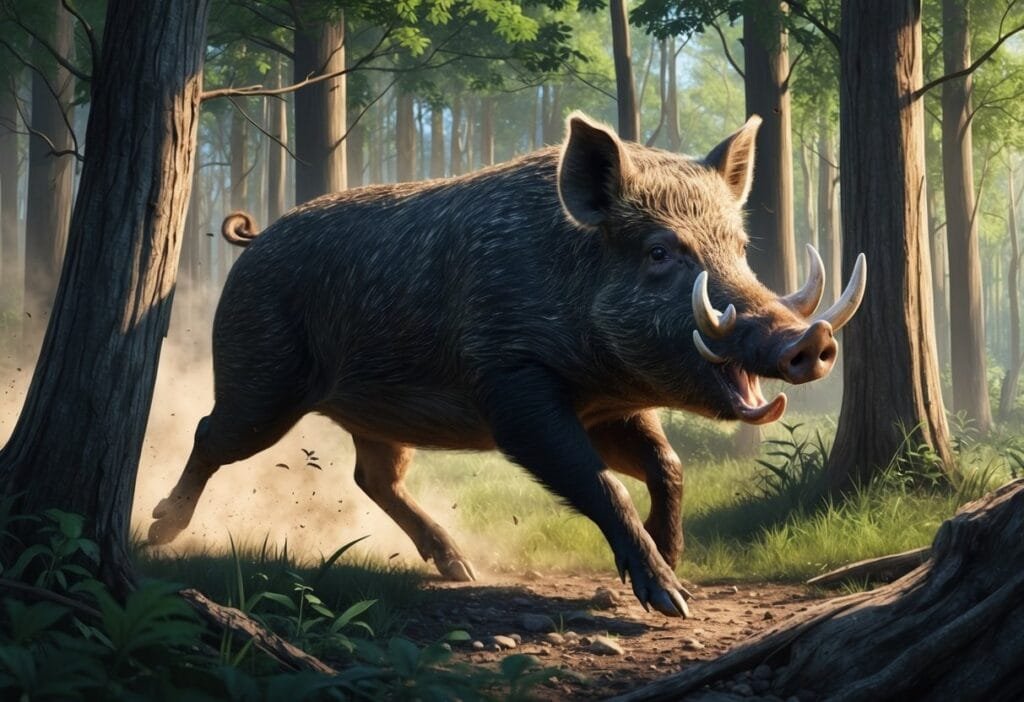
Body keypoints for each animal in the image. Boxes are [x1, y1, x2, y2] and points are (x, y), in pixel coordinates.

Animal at [149, 112, 865, 617]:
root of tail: (251, 241)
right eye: (661, 252)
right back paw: (160, 530)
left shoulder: (611, 407)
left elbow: (668, 464)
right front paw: (670, 601)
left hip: (376, 413)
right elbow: (598, 481)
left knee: (372, 476)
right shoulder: (513, 388)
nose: (806, 341)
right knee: (213, 433)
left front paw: (674, 563)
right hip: (259, 374)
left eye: (740, 248)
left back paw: (459, 570)